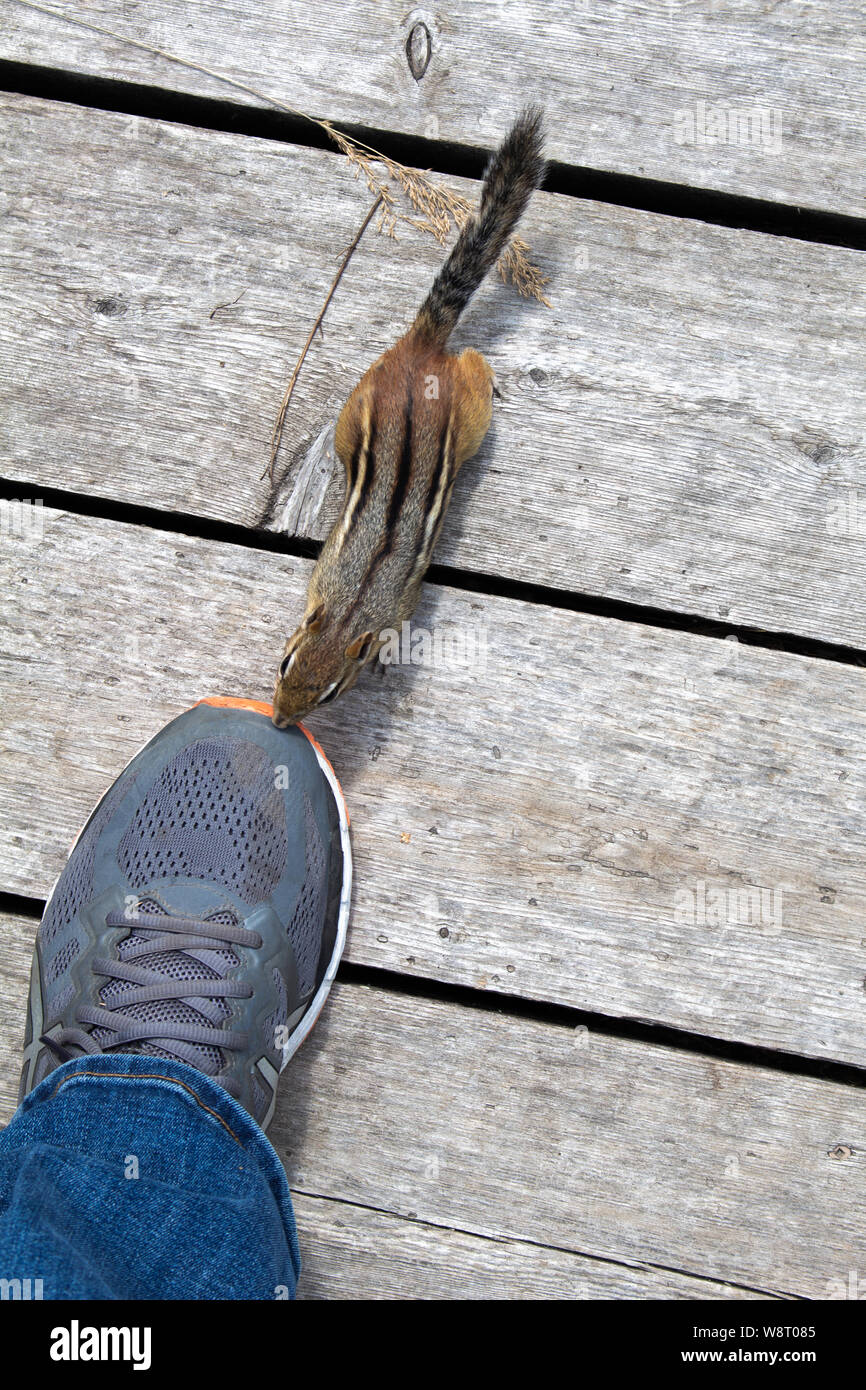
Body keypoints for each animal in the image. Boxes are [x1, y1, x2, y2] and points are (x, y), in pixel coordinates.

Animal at [272, 105, 545, 727]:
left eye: (331, 693)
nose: (278, 720)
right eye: (284, 663)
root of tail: (421, 347)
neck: (352, 606)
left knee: (472, 363)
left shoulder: (397, 605)